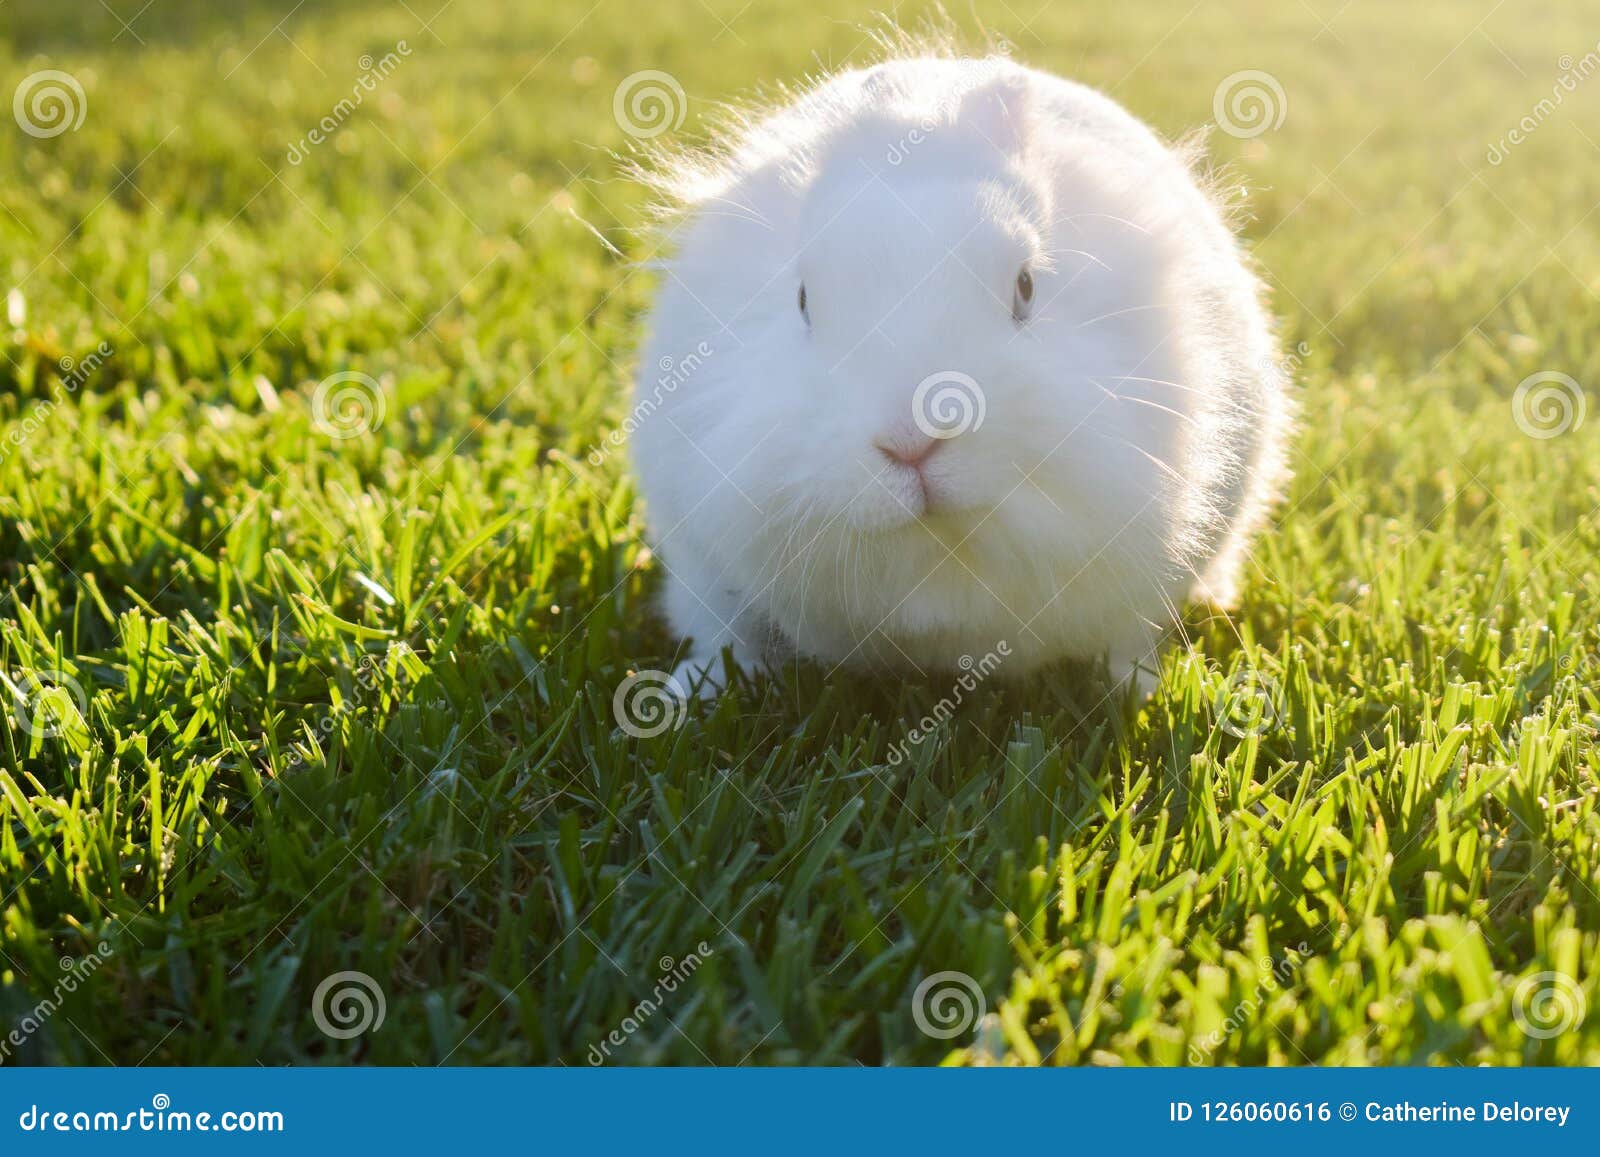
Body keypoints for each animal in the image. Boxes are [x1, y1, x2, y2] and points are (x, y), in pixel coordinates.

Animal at [627, 46, 1292, 698]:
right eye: (802, 299)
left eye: (1026, 286)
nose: (912, 443)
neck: (940, 554)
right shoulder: (702, 564)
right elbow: (725, 636)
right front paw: (691, 692)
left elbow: (1128, 640)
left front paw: (1142, 692)